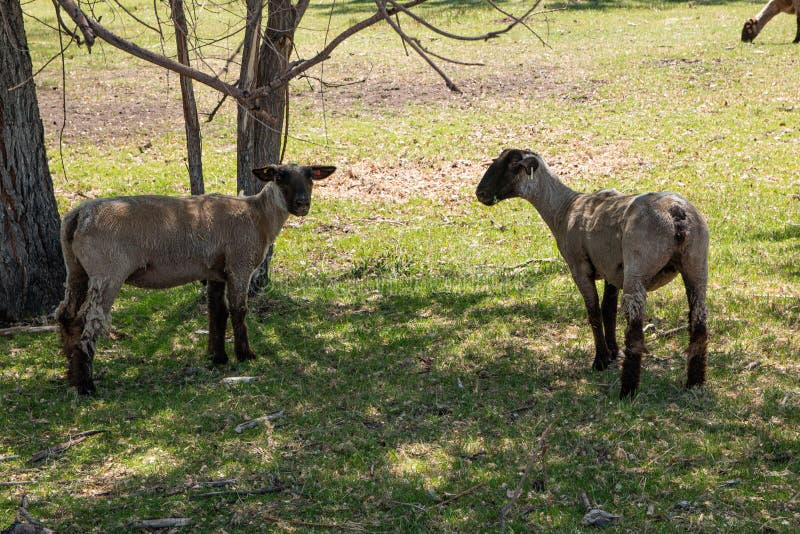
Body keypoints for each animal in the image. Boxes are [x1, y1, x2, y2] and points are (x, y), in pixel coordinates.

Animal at [55, 164, 336, 394]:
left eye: (311, 177)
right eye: (279, 176)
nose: (302, 204)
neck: (258, 215)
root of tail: (78, 215)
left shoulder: (216, 271)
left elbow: (217, 312)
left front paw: (217, 356)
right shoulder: (239, 264)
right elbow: (238, 309)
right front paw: (245, 354)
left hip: (76, 269)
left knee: (67, 315)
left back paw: (72, 374)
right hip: (107, 272)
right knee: (88, 320)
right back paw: (86, 386)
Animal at [475, 149, 708, 398]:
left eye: (513, 165)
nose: (480, 193)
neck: (563, 208)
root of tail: (676, 214)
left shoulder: (579, 268)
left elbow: (594, 312)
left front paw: (601, 360)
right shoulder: (611, 270)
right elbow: (608, 310)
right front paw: (613, 351)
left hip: (638, 269)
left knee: (635, 332)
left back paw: (627, 390)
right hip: (696, 265)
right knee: (699, 323)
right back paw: (695, 381)